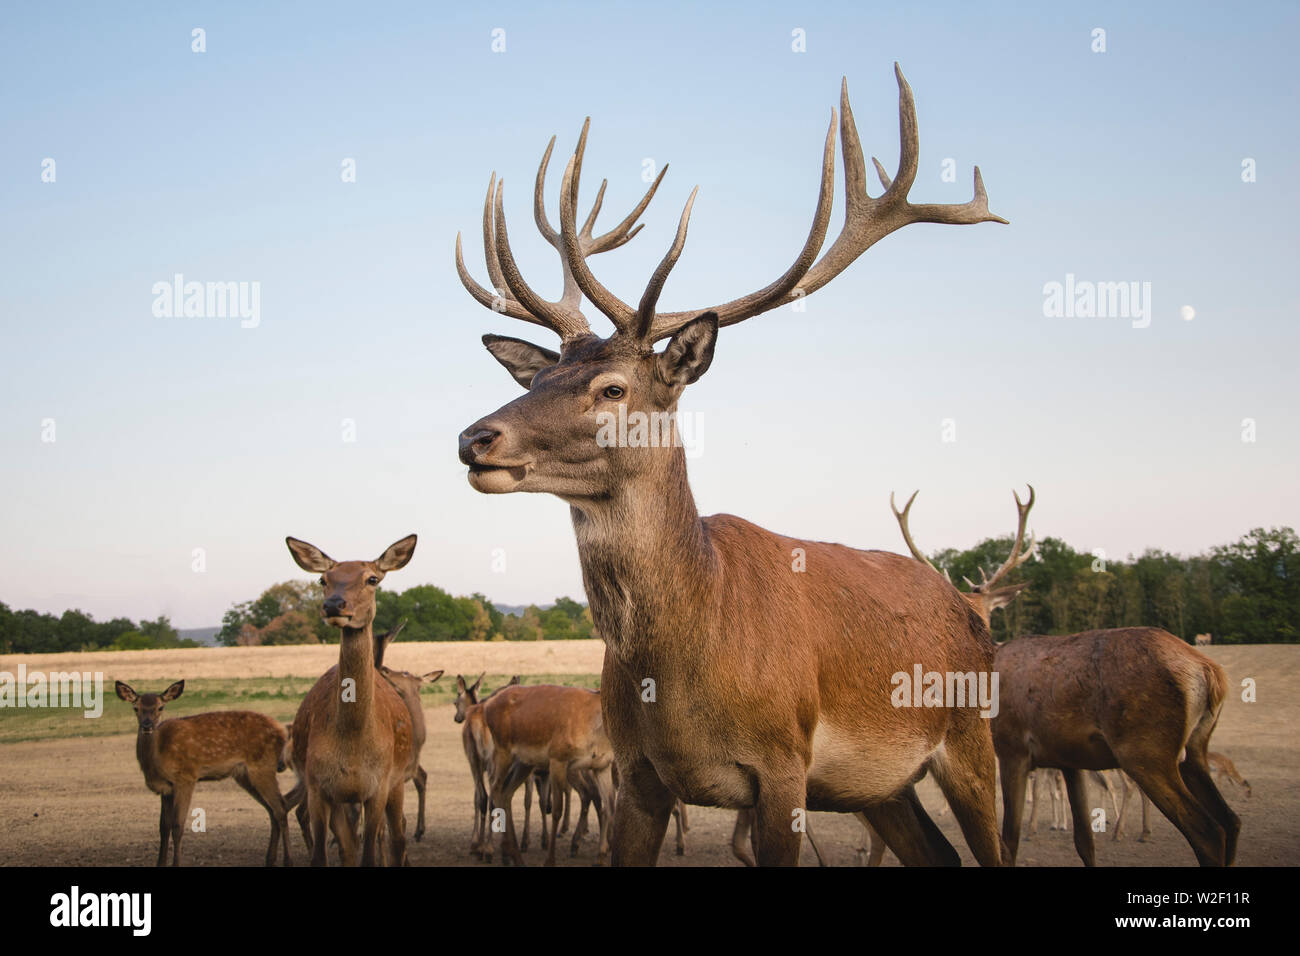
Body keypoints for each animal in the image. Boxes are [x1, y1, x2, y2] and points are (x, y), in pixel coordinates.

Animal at [115, 680, 292, 866]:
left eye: (160, 707)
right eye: (135, 708)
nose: (147, 725)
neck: (157, 760)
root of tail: (282, 731)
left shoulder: (186, 777)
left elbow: (177, 826)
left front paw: (176, 863)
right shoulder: (166, 788)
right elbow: (163, 827)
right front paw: (160, 863)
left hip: (263, 767)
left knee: (281, 808)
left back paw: (288, 860)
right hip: (245, 775)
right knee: (272, 810)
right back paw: (270, 859)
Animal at [284, 534, 419, 866]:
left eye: (372, 579)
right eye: (323, 579)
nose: (333, 604)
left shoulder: (377, 788)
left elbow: (370, 854)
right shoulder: (319, 788)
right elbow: (326, 855)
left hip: (398, 781)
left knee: (398, 838)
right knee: (347, 847)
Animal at [480, 683, 616, 866]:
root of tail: (487, 705)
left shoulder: (602, 765)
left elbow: (610, 808)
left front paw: (602, 856)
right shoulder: (557, 758)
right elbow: (556, 810)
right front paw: (550, 860)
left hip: (524, 762)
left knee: (506, 793)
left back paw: (516, 856)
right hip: (503, 750)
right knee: (495, 790)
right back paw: (500, 850)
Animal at [890, 488, 1241, 866]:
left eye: (987, 612)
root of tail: (1207, 670)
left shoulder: (1014, 746)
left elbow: (1009, 841)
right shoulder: (1068, 759)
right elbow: (1084, 840)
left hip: (1147, 749)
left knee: (1207, 830)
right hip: (1195, 748)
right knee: (1231, 820)